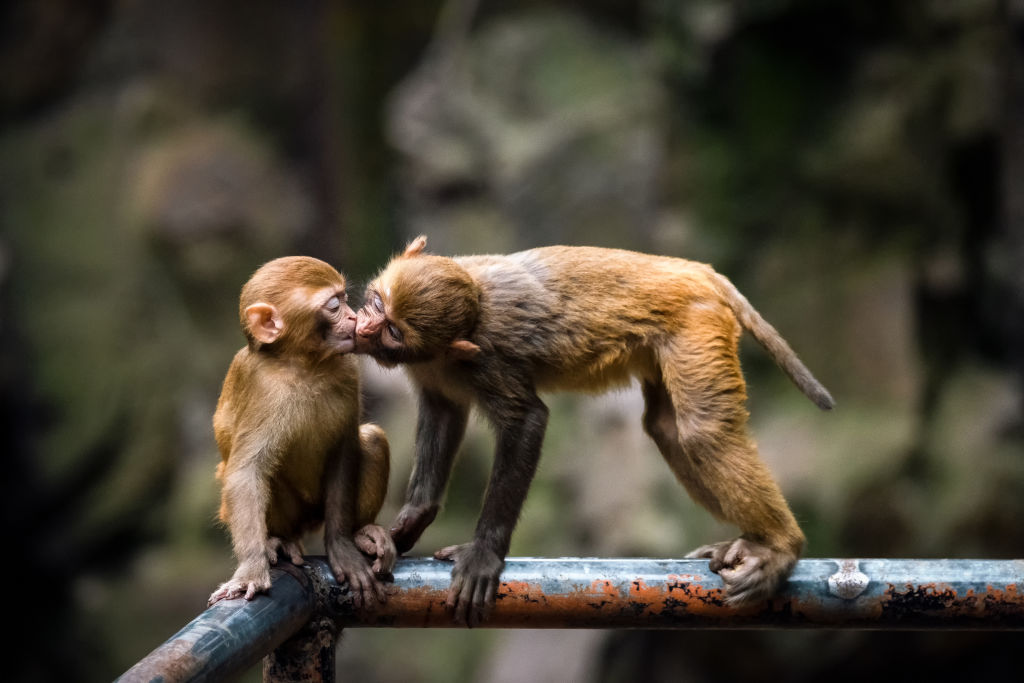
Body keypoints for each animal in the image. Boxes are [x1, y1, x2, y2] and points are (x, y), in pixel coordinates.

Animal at [208, 256, 396, 609]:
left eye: (345, 300)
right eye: (334, 306)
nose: (353, 317)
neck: (305, 365)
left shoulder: (348, 371)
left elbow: (344, 450)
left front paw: (342, 547)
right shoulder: (263, 387)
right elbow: (247, 472)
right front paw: (250, 570)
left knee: (372, 439)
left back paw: (362, 532)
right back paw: (277, 541)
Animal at [353, 236, 834, 625]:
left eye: (392, 329)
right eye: (377, 303)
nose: (363, 326)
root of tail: (691, 270)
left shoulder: (486, 362)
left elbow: (527, 420)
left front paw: (484, 555)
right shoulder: (436, 374)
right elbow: (444, 411)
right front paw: (411, 521)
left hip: (697, 324)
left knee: (703, 432)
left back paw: (780, 546)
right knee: (667, 429)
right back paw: (753, 540)